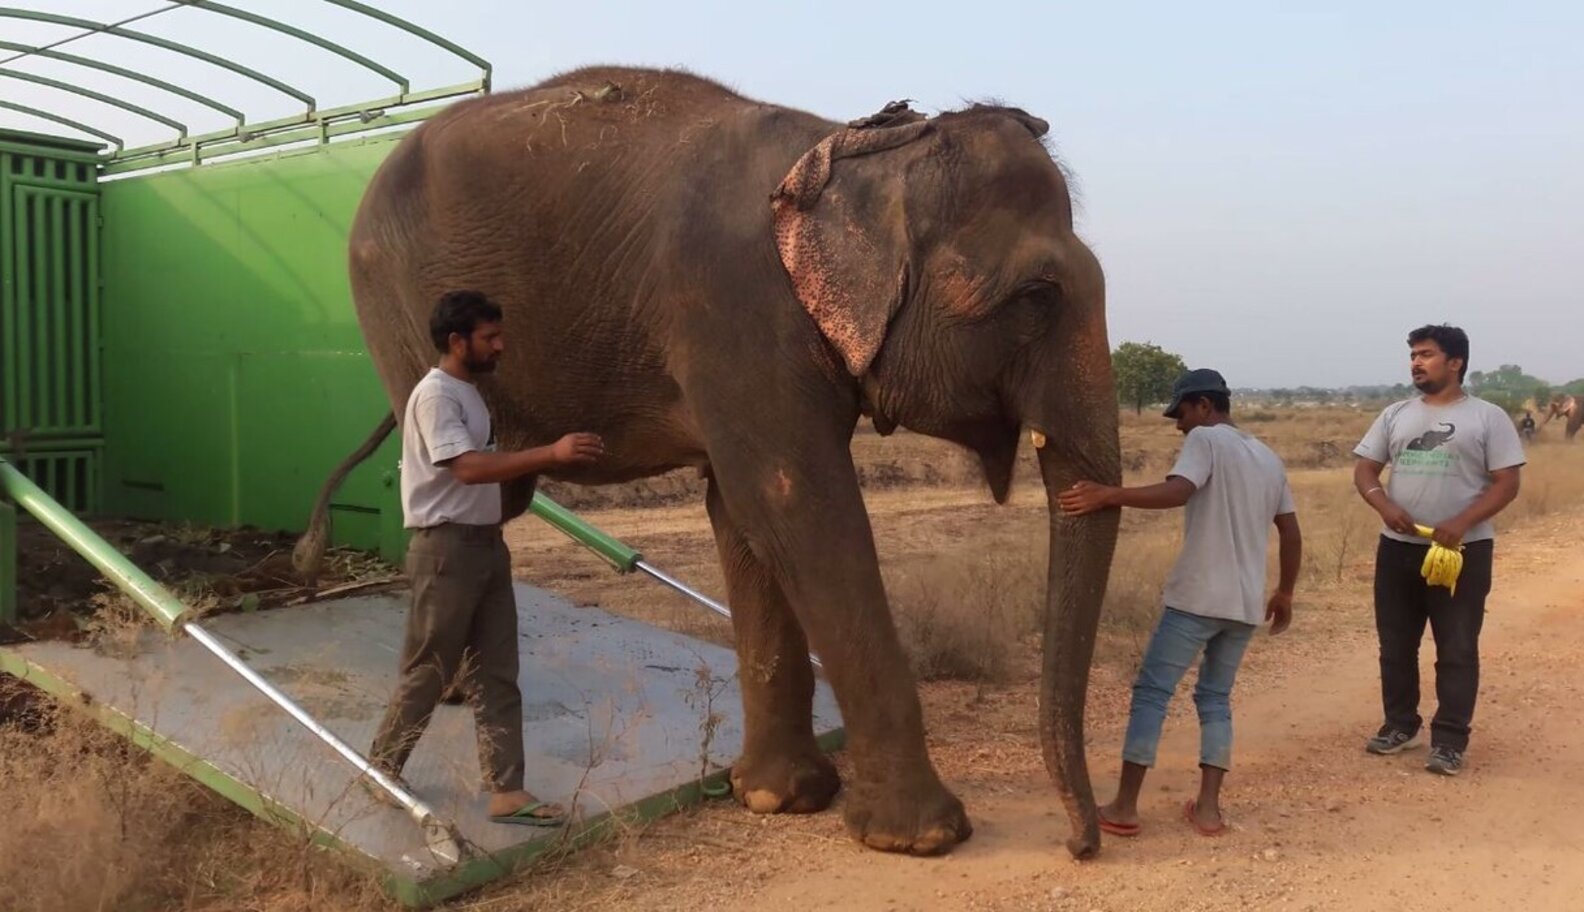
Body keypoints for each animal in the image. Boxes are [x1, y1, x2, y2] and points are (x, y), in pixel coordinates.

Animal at [295, 67, 1122, 859]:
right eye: (1039, 295)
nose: (1083, 841)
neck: (852, 146)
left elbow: (743, 512)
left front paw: (777, 797)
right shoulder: (735, 309)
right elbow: (793, 502)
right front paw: (920, 838)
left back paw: (460, 692)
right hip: (396, 318)